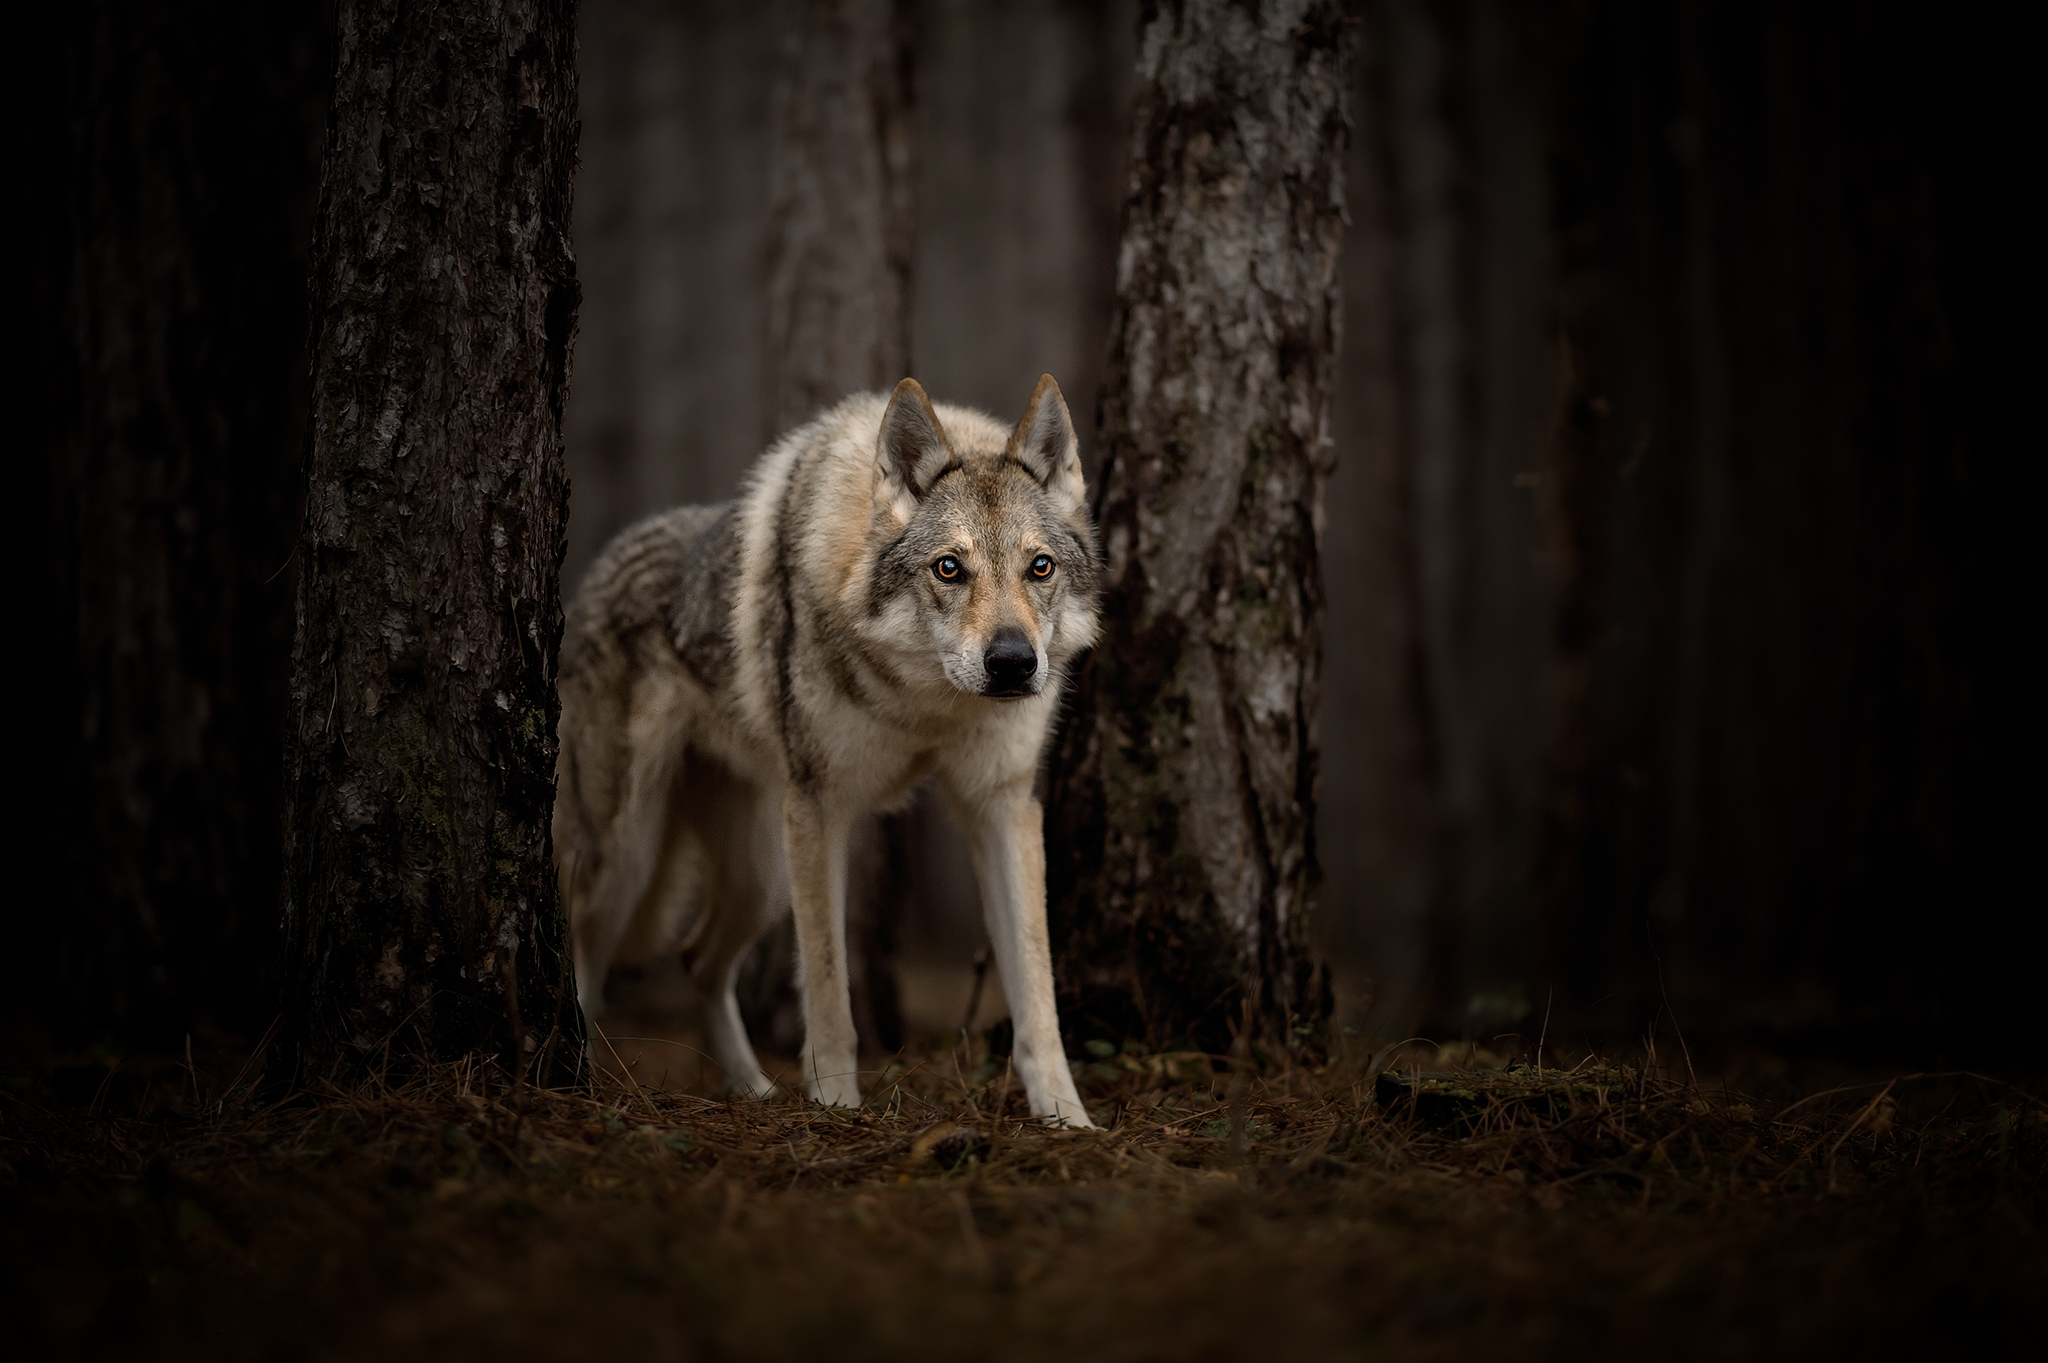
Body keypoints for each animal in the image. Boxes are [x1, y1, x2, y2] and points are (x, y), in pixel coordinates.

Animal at [554, 375, 1100, 1126]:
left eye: (1039, 567)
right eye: (949, 568)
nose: (1014, 663)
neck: (926, 700)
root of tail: (595, 569)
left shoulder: (1003, 807)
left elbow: (1036, 993)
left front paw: (1067, 1118)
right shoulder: (823, 810)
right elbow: (828, 985)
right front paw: (837, 1104)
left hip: (761, 876)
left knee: (697, 959)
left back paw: (751, 1088)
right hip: (632, 859)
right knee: (584, 955)